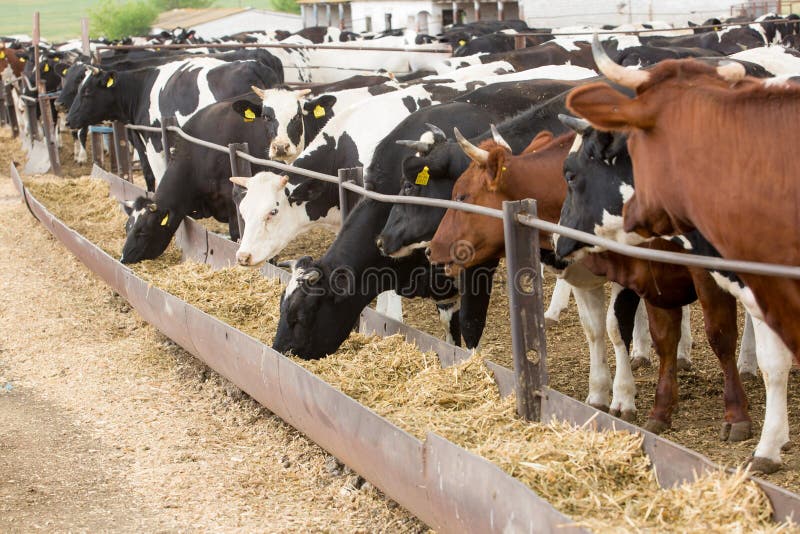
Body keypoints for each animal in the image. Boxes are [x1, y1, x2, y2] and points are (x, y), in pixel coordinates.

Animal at [65, 55, 283, 192]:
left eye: (86, 91)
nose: (68, 120)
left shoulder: (154, 144)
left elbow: (156, 175)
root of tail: (254, 65)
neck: (142, 90)